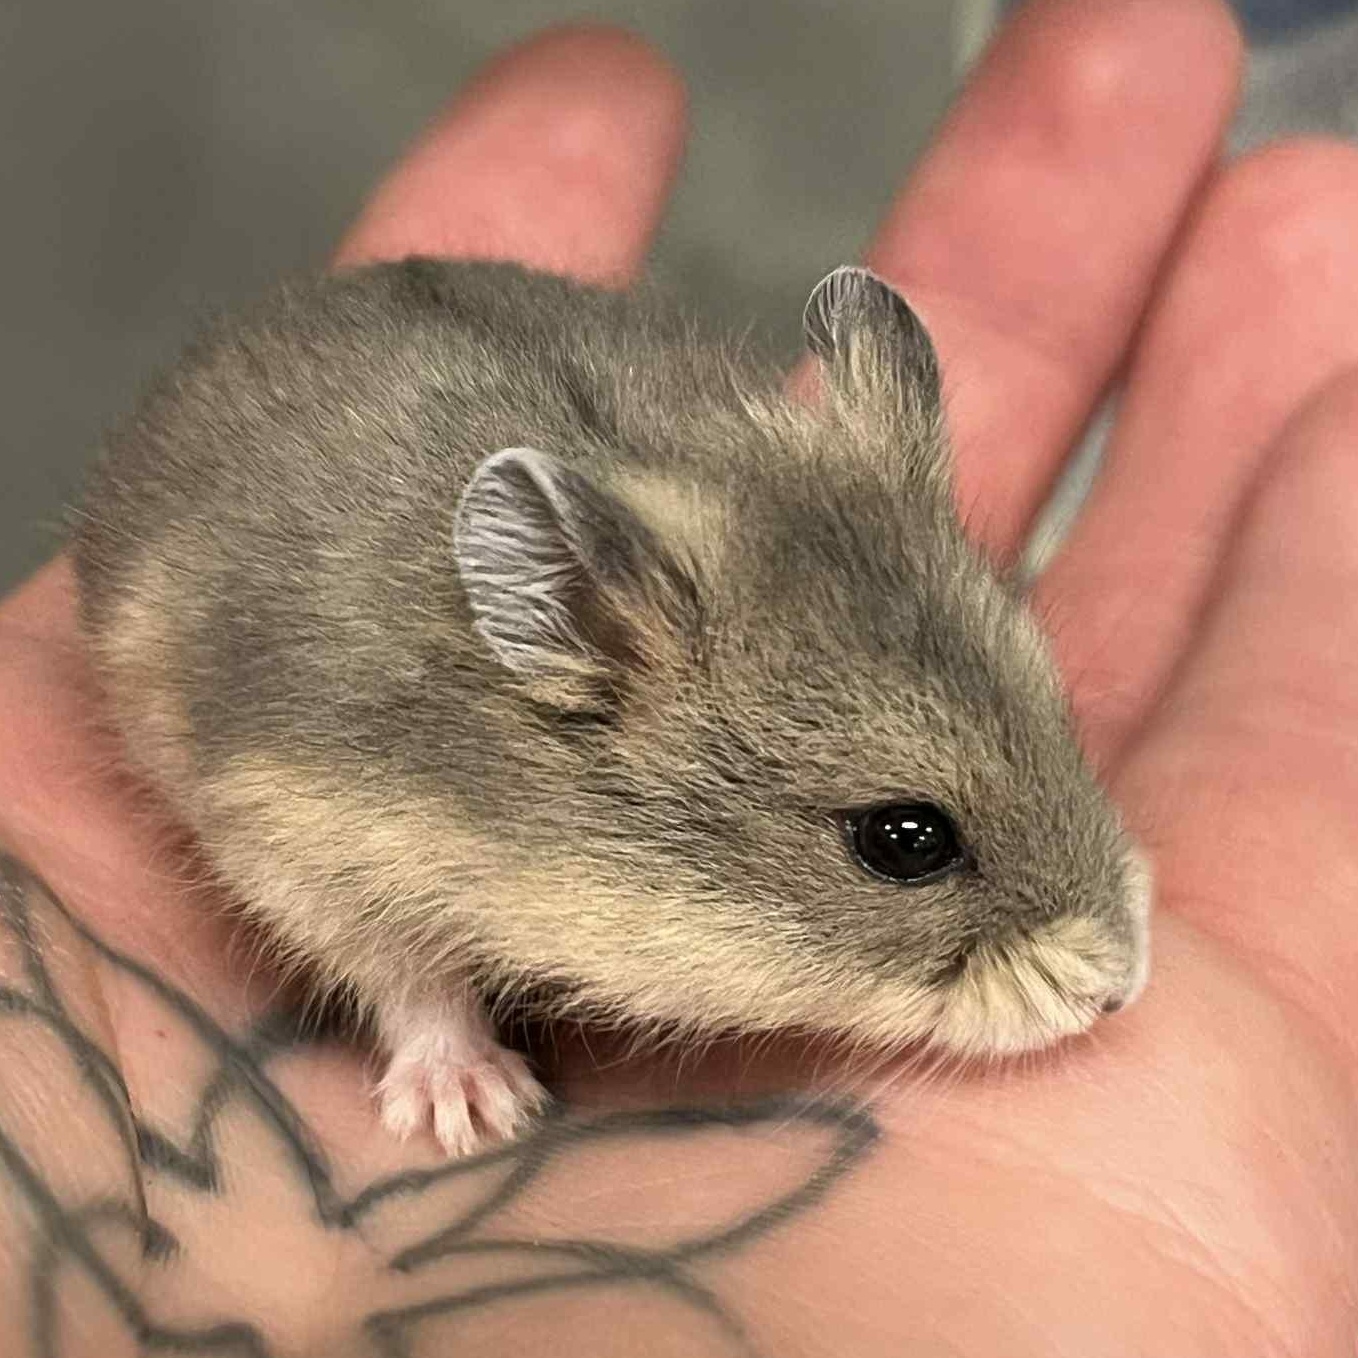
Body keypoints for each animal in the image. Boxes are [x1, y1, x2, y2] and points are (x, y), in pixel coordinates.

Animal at [72, 259, 1151, 1155]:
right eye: (904, 838)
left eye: (1058, 712)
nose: (1117, 990)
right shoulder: (298, 835)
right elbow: (412, 980)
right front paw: (481, 1113)